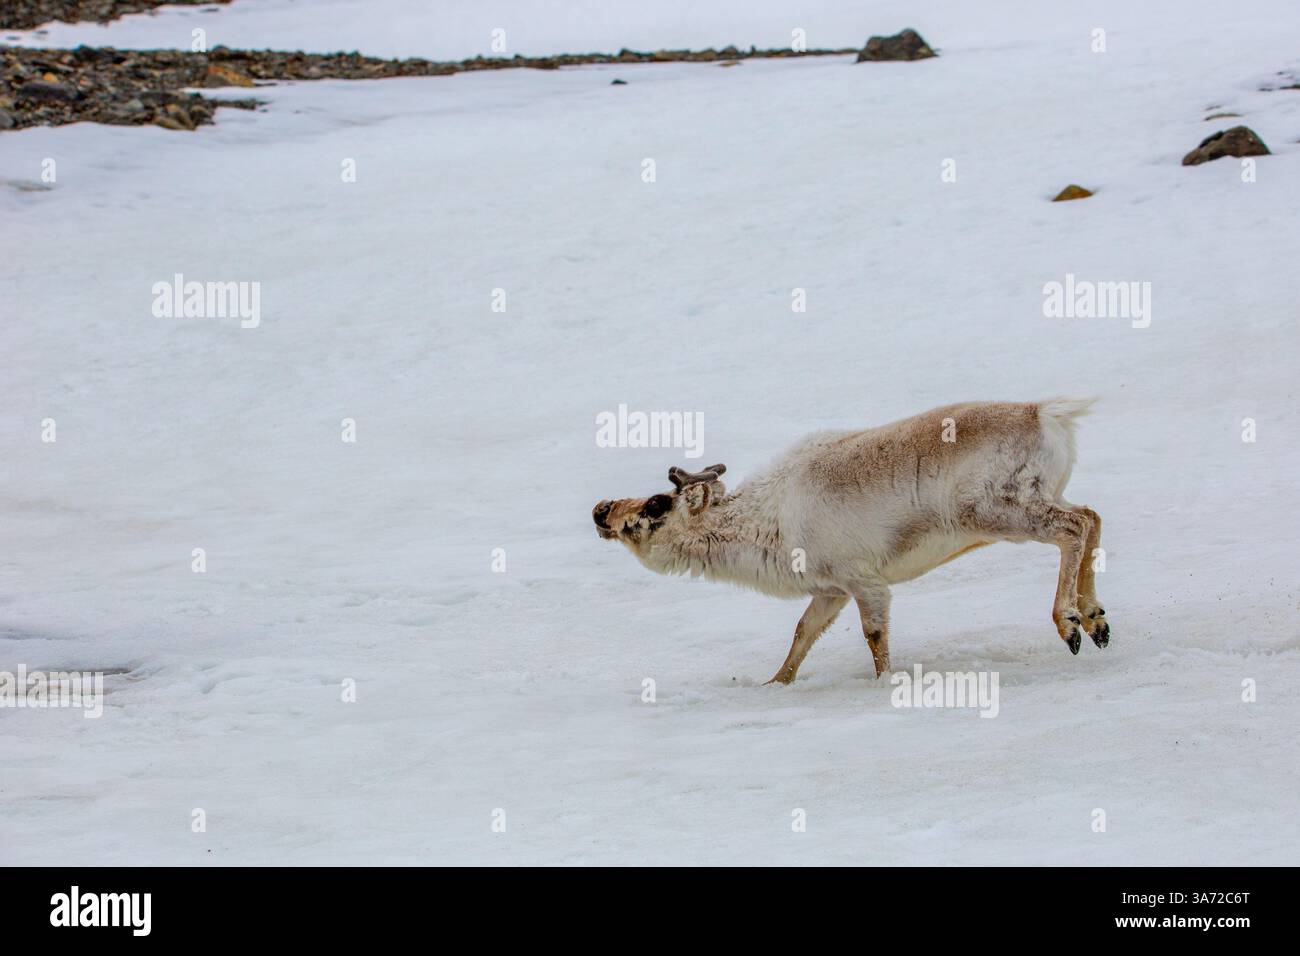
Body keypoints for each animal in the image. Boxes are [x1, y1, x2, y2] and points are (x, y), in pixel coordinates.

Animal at [592, 398, 1109, 684]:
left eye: (656, 504)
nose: (600, 509)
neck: (764, 522)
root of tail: (1045, 413)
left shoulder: (866, 583)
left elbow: (874, 637)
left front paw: (884, 685)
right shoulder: (830, 591)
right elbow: (802, 633)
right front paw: (774, 683)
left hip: (995, 511)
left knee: (1073, 528)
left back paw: (1069, 624)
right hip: (1039, 497)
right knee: (1092, 515)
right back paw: (1096, 620)